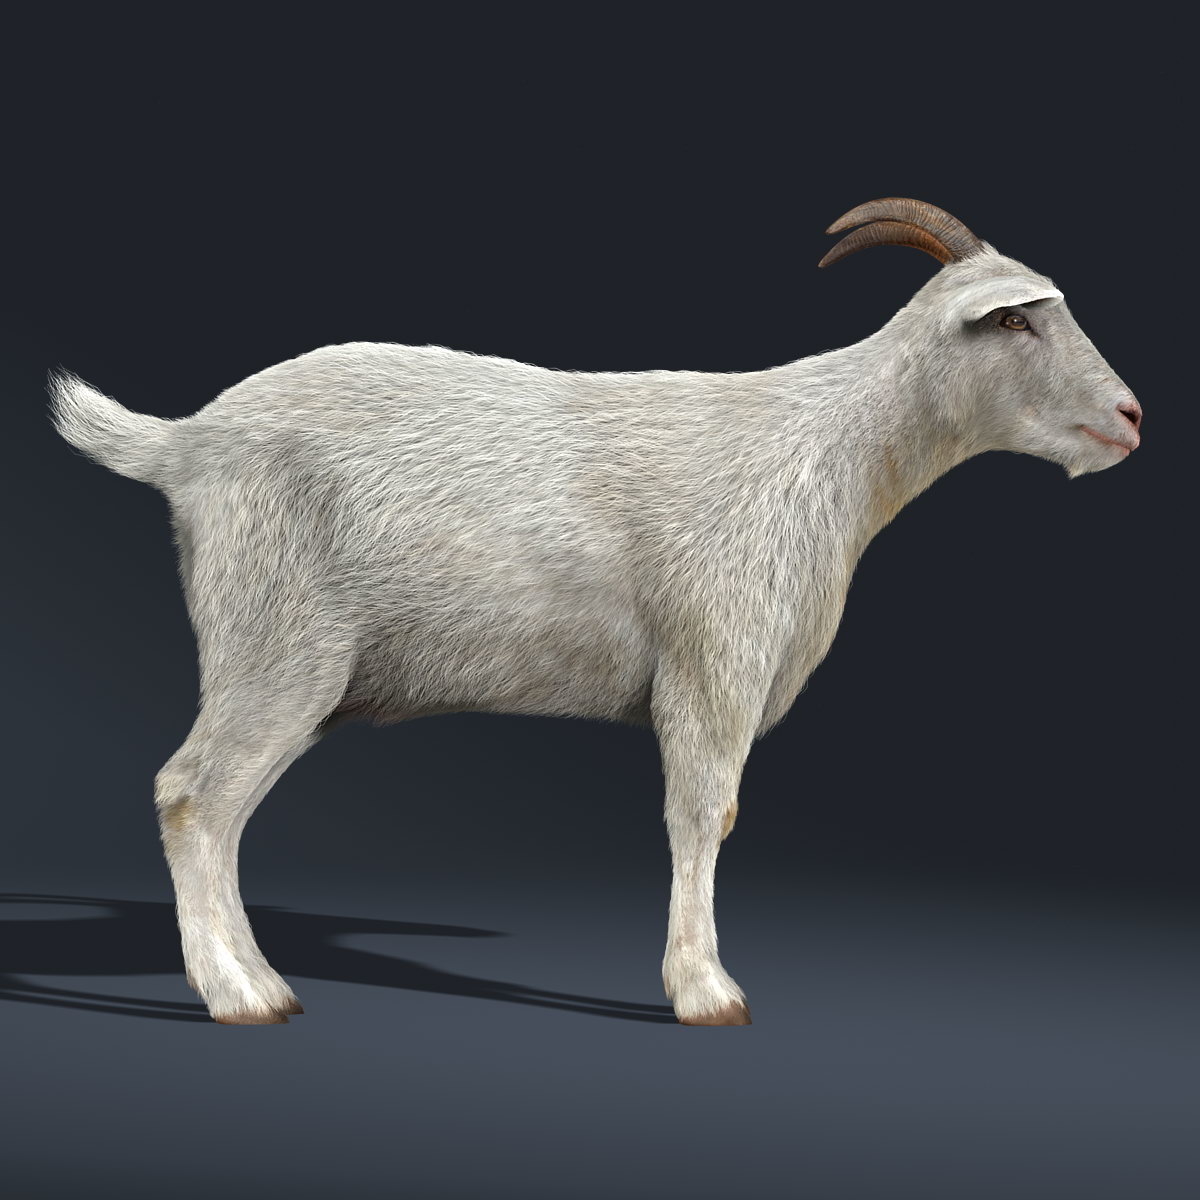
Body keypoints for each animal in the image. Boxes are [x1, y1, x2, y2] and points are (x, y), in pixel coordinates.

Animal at [50, 198, 1142, 1026]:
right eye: (1015, 322)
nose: (1131, 417)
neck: (822, 451)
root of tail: (185, 442)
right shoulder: (712, 662)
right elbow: (706, 813)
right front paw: (706, 991)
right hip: (273, 638)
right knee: (193, 794)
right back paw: (236, 995)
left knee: (225, 810)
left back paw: (261, 981)